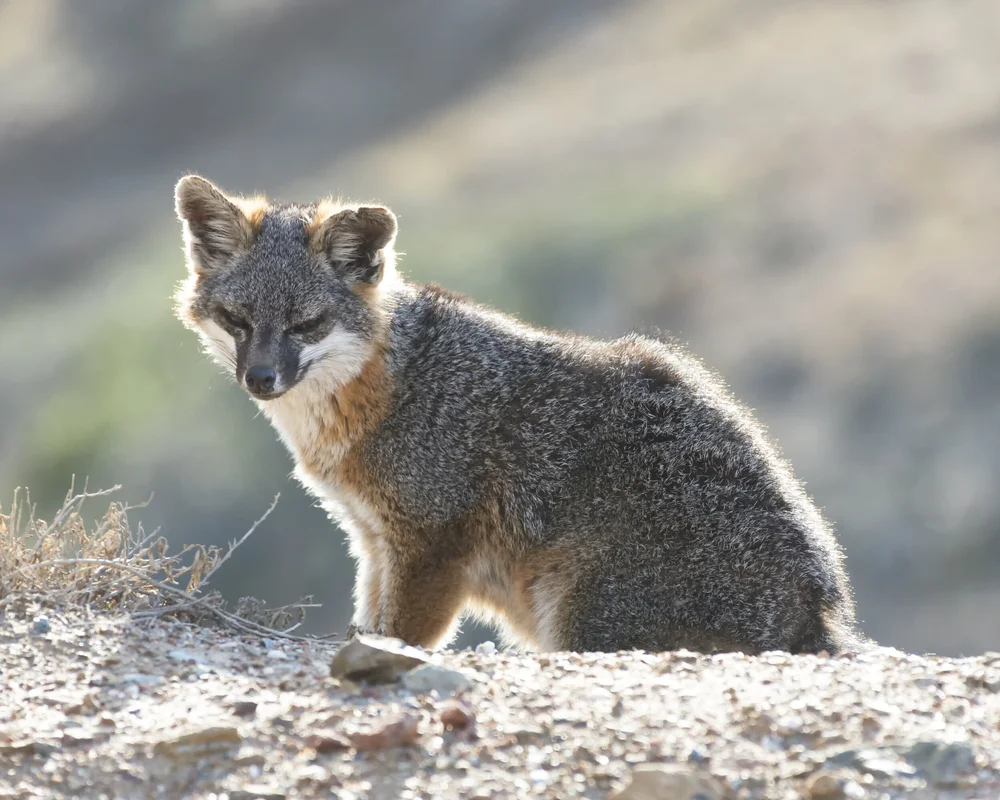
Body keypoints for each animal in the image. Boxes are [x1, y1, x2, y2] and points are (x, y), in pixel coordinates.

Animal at [173, 174, 867, 654]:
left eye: (305, 324)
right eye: (237, 320)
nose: (261, 379)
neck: (391, 387)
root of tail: (819, 610)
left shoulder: (429, 547)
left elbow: (401, 636)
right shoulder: (372, 540)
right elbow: (367, 625)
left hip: (578, 614)